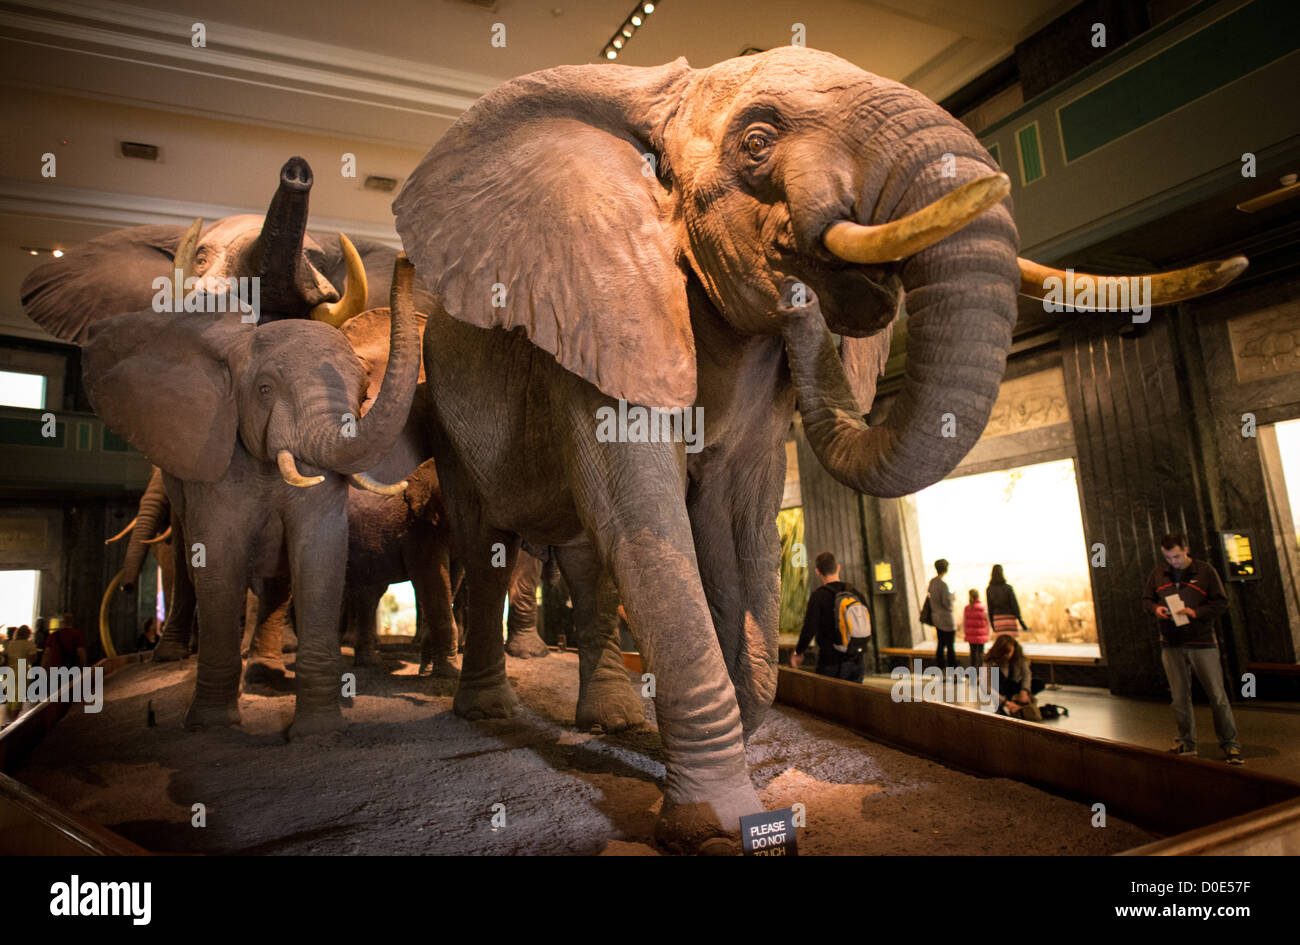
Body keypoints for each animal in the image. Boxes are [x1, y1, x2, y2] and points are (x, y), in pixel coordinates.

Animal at [76, 249, 422, 736]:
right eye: (264, 389)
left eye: (362, 392)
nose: (405, 260)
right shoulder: (214, 447)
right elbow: (219, 554)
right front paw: (211, 726)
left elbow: (319, 550)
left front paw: (317, 732)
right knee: (187, 558)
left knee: (276, 576)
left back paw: (265, 675)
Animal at [391, 46, 1245, 851]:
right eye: (757, 142)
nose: (811, 295)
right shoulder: (601, 315)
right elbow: (645, 515)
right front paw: (716, 825)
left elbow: (734, 511)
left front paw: (713, 739)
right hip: (448, 420)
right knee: (487, 547)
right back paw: (490, 712)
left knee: (587, 562)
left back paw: (614, 723)